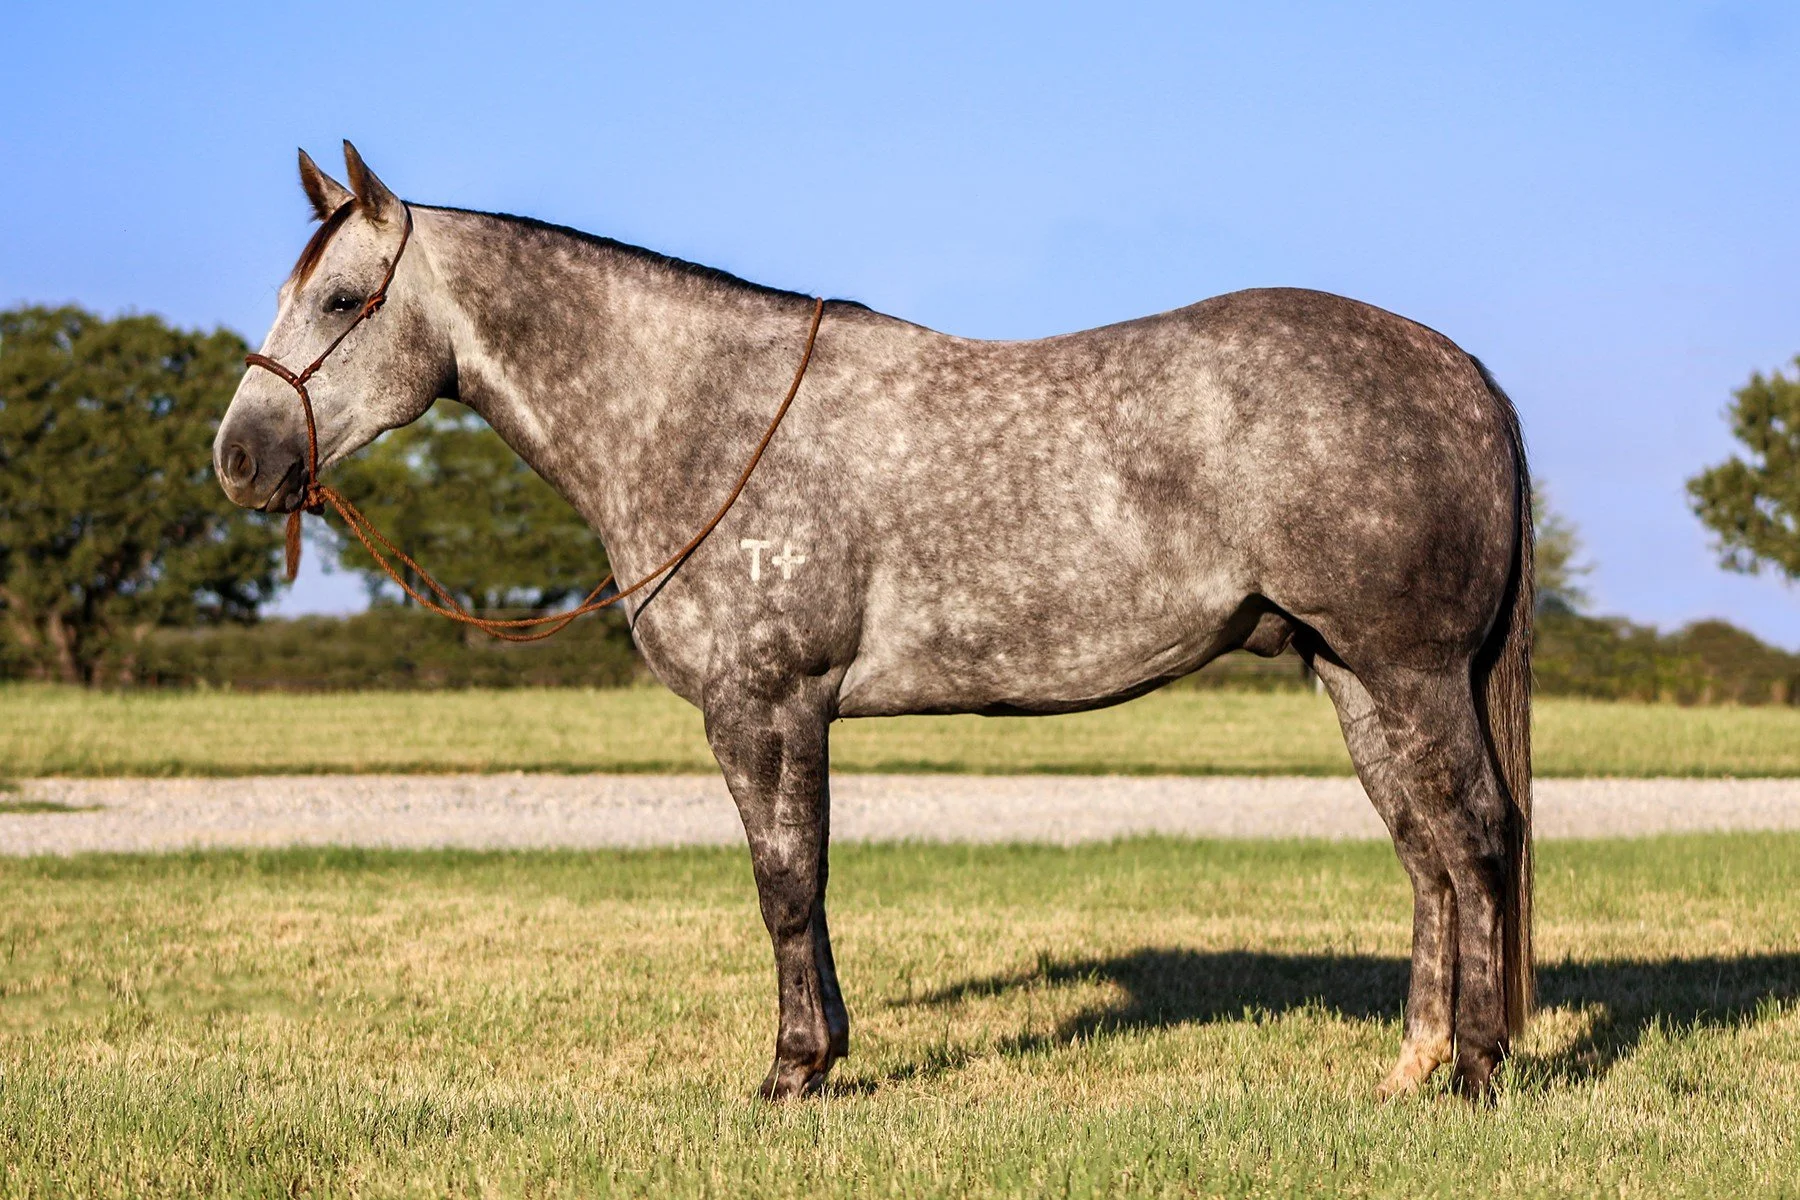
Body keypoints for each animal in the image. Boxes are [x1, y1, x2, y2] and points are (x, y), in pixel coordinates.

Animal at [215, 142, 1533, 1102]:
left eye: (342, 297)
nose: (240, 459)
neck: (703, 416)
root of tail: (1460, 368)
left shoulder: (765, 705)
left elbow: (785, 883)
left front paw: (795, 1072)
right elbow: (804, 881)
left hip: (1410, 673)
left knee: (1475, 839)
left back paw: (1475, 1069)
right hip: (1354, 675)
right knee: (1425, 853)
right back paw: (1410, 1066)